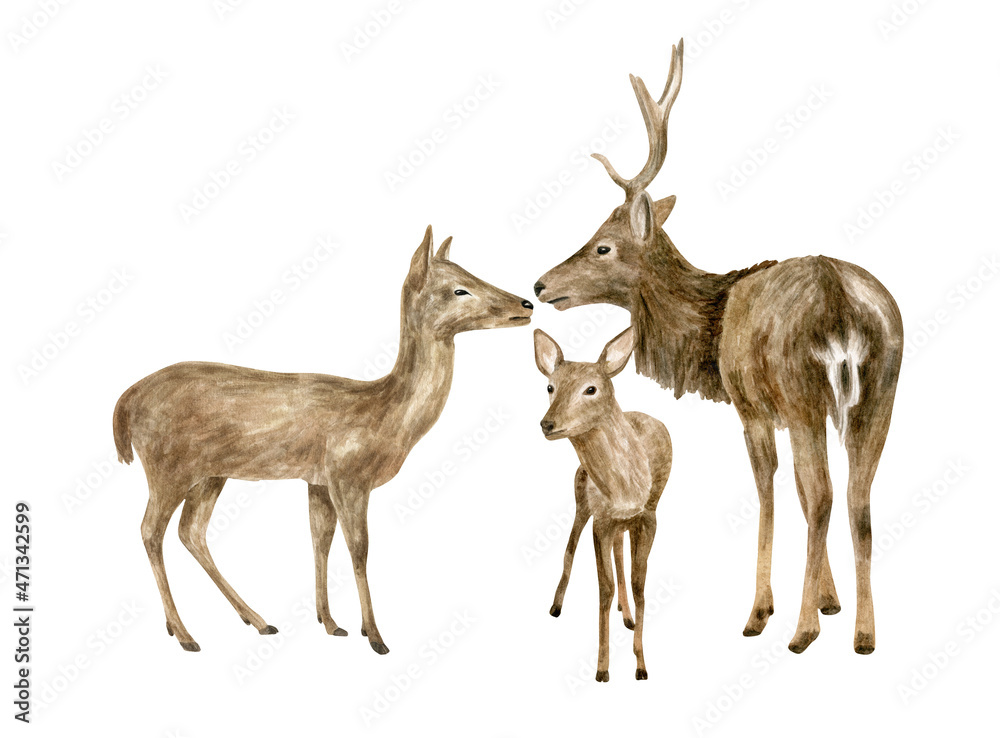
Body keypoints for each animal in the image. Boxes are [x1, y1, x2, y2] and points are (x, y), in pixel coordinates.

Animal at [113, 225, 533, 653]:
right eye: (459, 288)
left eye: (471, 271)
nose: (527, 303)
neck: (388, 417)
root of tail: (125, 401)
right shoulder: (349, 474)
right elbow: (360, 548)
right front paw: (375, 636)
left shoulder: (317, 480)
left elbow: (321, 540)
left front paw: (331, 623)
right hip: (167, 466)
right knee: (150, 530)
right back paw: (185, 634)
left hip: (211, 473)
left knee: (191, 532)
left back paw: (256, 621)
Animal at [534, 326, 671, 681]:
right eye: (550, 386)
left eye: (590, 389)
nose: (547, 424)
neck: (626, 489)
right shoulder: (601, 520)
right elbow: (604, 588)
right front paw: (602, 668)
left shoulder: (649, 516)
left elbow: (639, 585)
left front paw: (641, 666)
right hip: (581, 501)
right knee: (570, 548)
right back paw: (556, 607)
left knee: (619, 554)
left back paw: (628, 616)